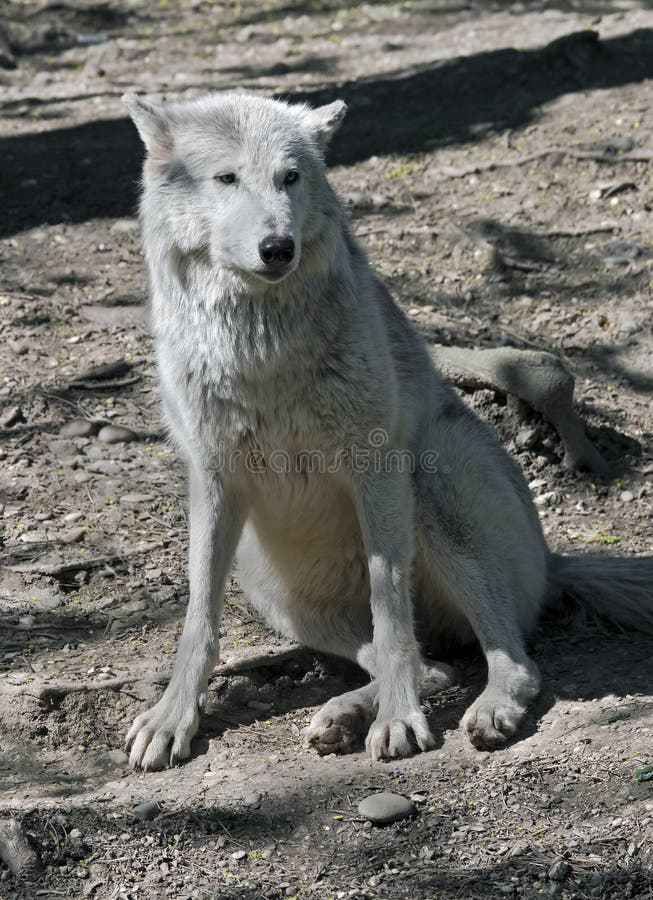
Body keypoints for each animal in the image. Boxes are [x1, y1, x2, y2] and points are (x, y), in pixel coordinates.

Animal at [122, 90, 653, 771]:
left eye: (290, 177)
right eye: (227, 179)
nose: (278, 247)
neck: (260, 350)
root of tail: (554, 561)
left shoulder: (375, 467)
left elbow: (390, 605)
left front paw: (400, 719)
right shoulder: (212, 477)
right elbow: (198, 620)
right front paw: (173, 718)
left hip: (430, 479)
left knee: (510, 659)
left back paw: (483, 710)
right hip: (271, 588)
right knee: (436, 665)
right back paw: (346, 713)